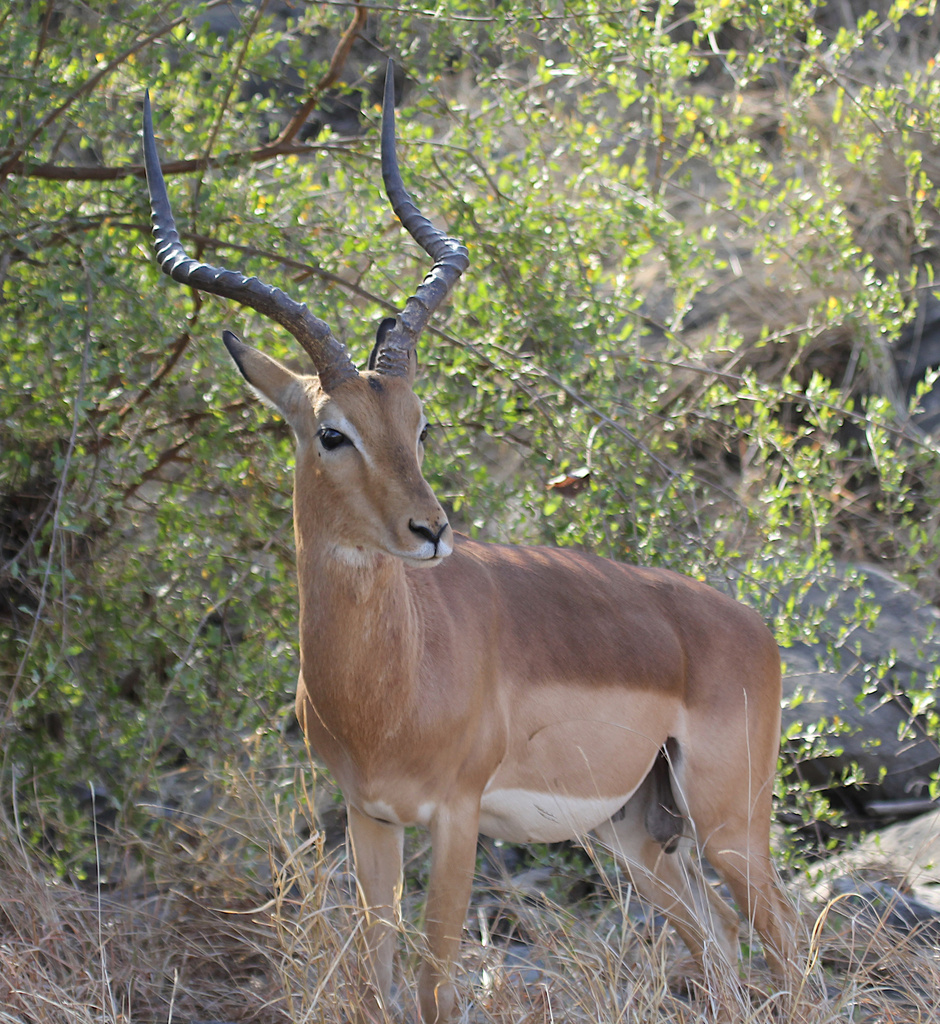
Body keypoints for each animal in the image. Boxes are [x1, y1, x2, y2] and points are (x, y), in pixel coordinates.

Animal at [143, 63, 801, 1022]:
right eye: (332, 431)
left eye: (421, 424)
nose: (432, 530)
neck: (390, 677)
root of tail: (752, 627)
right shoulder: (368, 816)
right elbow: (379, 980)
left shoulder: (457, 819)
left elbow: (432, 986)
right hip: (639, 837)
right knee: (720, 960)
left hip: (728, 826)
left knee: (791, 950)